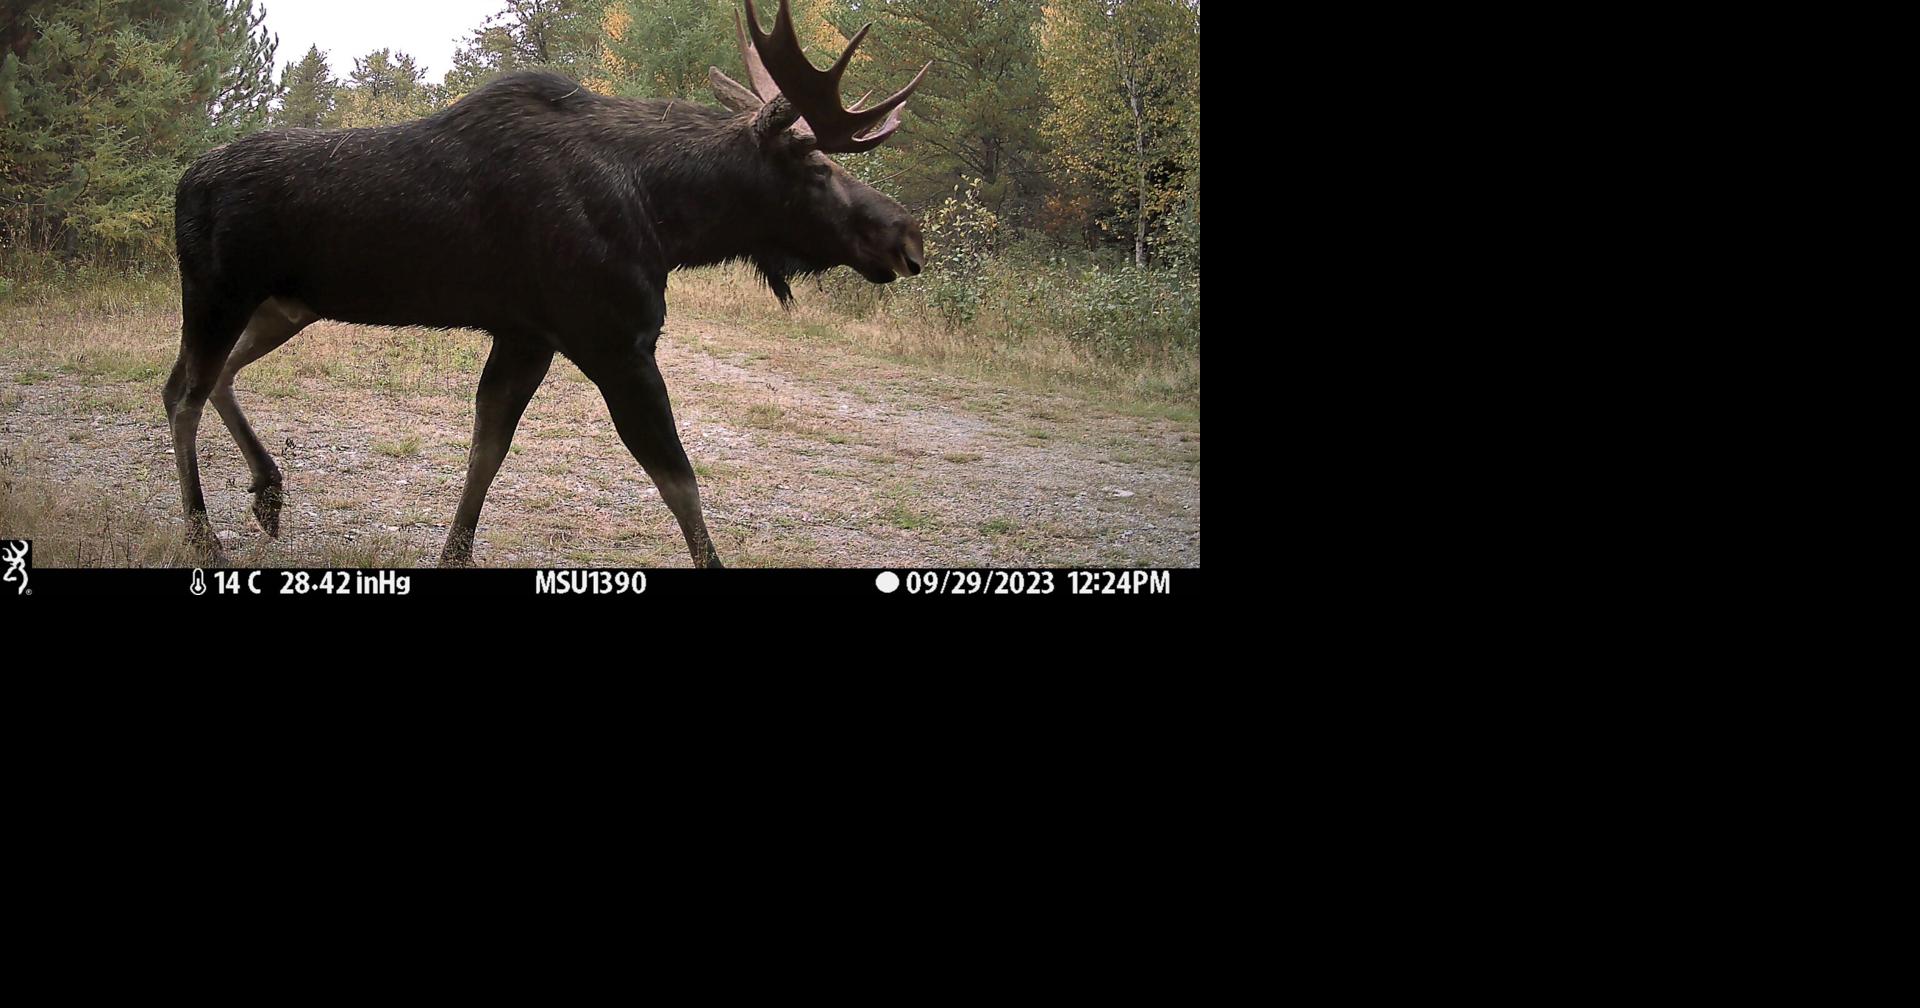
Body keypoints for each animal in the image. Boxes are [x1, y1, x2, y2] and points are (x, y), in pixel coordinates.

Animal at [163, 0, 928, 568]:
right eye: (818, 168)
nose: (908, 235)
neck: (667, 217)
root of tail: (183, 183)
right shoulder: (614, 340)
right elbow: (679, 481)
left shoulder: (528, 334)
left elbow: (487, 451)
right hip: (217, 294)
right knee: (182, 394)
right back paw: (203, 536)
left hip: (284, 306)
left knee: (214, 377)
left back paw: (267, 492)